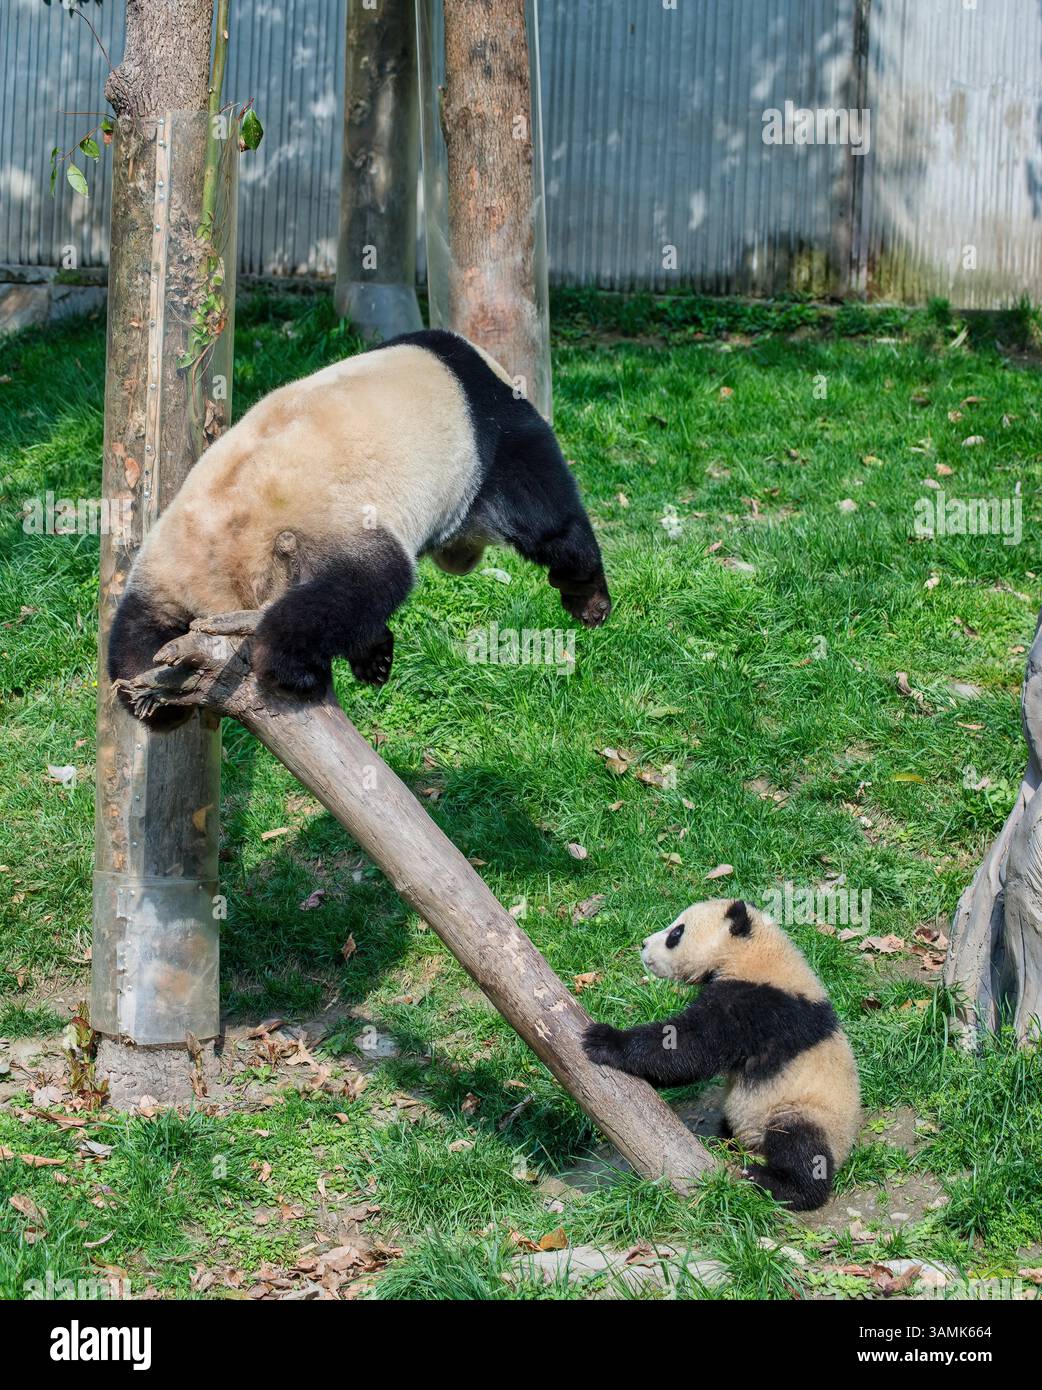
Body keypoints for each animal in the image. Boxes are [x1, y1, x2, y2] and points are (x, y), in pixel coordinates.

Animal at [108, 328, 611, 728]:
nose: (464, 563)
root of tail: (215, 574)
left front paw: (374, 657)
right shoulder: (495, 440)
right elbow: (549, 515)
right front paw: (588, 599)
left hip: (160, 573)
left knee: (131, 642)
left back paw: (149, 696)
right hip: (321, 528)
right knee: (359, 588)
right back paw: (291, 668)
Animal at [583, 899, 860, 1211]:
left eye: (676, 933)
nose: (643, 945)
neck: (754, 952)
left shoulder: (756, 1005)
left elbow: (688, 1045)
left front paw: (605, 1039)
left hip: (804, 1110)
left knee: (800, 1145)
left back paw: (776, 1183)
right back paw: (724, 1141)